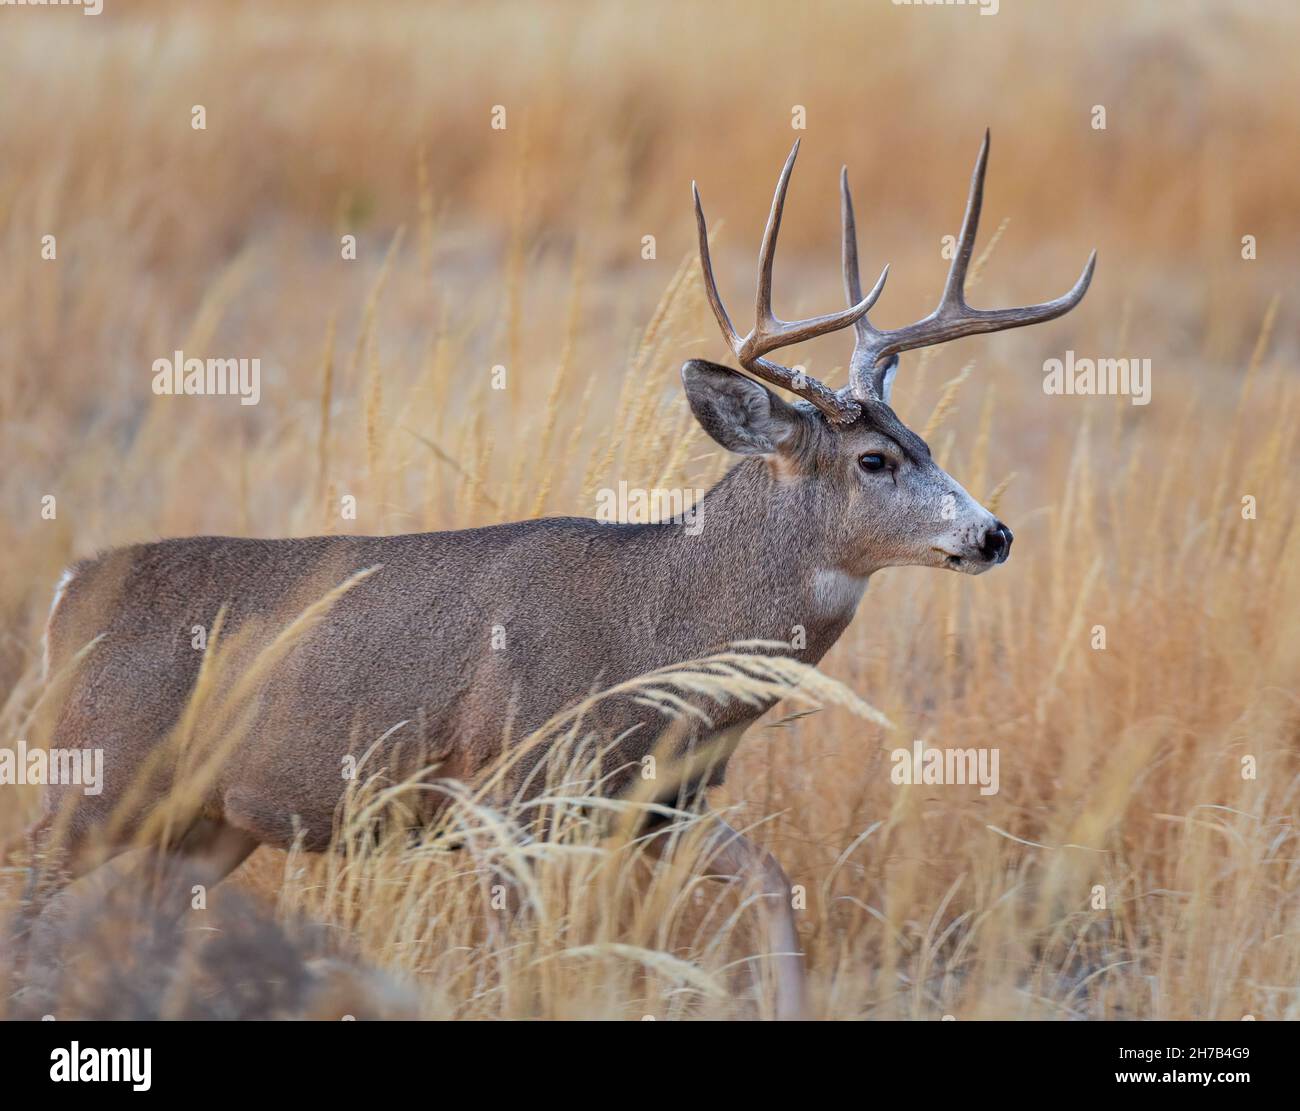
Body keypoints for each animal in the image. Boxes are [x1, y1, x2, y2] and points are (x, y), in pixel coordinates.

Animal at [11, 132, 1093, 1019]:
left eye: (925, 442)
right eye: (873, 459)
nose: (993, 533)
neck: (663, 632)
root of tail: (68, 593)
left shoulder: (658, 803)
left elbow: (772, 880)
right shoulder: (506, 791)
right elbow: (514, 970)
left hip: (207, 820)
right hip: (96, 775)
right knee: (26, 898)